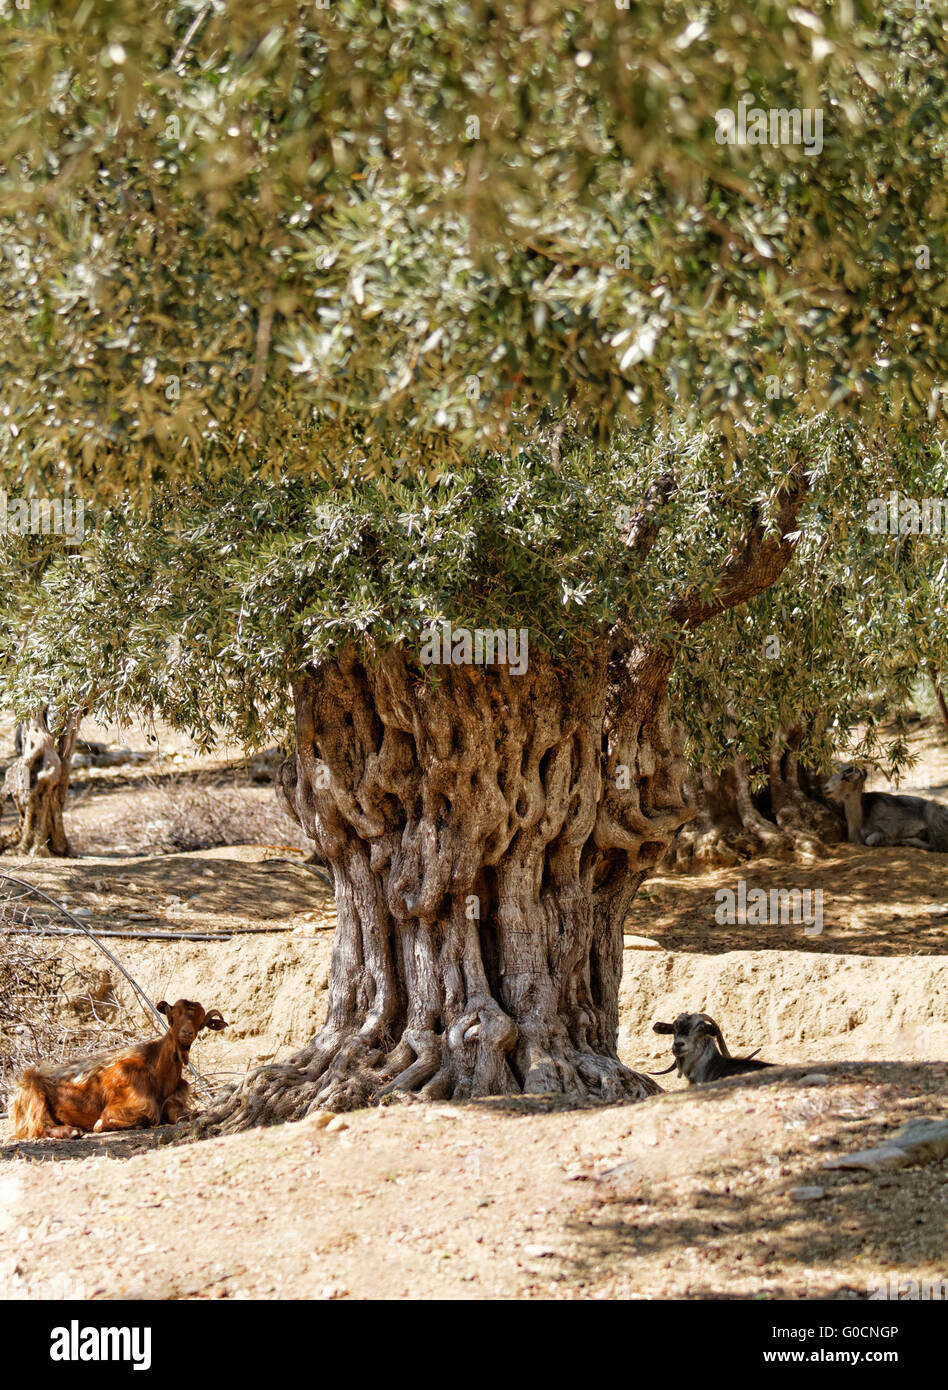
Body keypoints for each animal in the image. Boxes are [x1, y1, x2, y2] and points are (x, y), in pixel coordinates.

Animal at [9, 999, 227, 1140]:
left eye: (201, 1023)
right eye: (172, 1017)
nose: (186, 1033)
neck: (157, 1072)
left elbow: (185, 1114)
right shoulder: (123, 1107)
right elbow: (142, 1118)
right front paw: (99, 1126)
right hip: (34, 1096)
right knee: (39, 1127)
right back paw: (71, 1131)